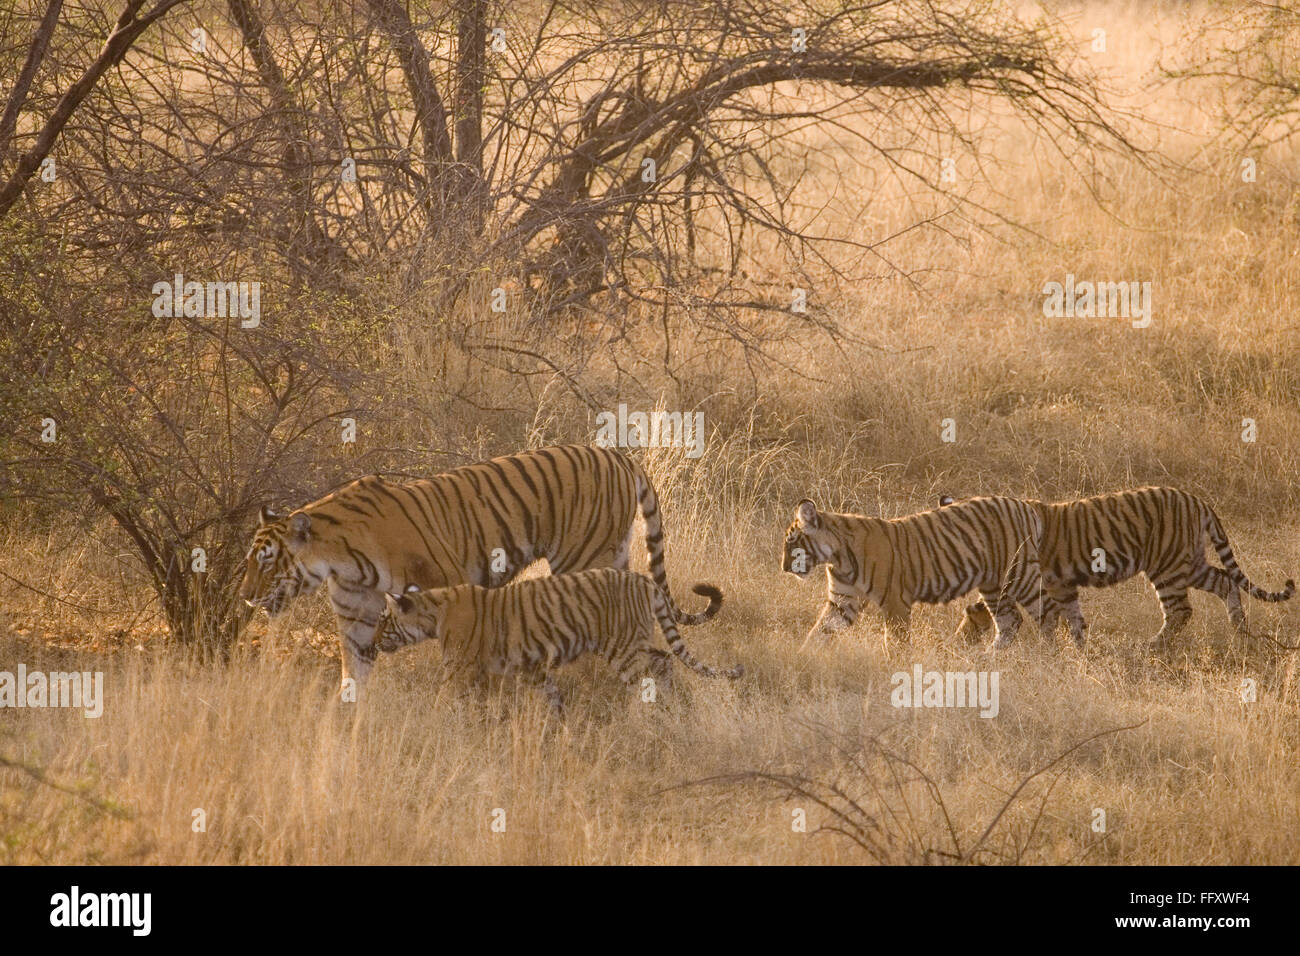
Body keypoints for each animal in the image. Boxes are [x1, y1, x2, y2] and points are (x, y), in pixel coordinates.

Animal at [239, 444, 716, 694]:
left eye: (267, 562)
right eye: (248, 562)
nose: (244, 596)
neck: (338, 558)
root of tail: (619, 454)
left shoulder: (447, 585)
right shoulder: (356, 615)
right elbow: (352, 673)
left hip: (583, 559)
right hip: (612, 557)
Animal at [373, 567, 744, 711]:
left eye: (383, 622)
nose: (373, 644)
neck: (433, 613)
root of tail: (644, 579)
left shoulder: (459, 670)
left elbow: (445, 702)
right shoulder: (531, 667)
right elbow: (551, 696)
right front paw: (558, 726)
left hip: (624, 648)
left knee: (647, 677)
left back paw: (647, 717)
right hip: (635, 641)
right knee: (665, 660)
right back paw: (676, 707)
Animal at [781, 496, 1050, 649]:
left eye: (792, 541)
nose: (783, 567)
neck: (837, 557)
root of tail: (1026, 506)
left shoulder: (895, 601)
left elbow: (896, 642)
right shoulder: (843, 601)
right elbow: (820, 631)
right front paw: (804, 657)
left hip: (1020, 574)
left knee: (1047, 612)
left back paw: (1050, 655)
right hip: (993, 585)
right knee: (1009, 621)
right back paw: (991, 657)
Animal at [938, 487, 1295, 649]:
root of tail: (1195, 499)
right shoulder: (1061, 585)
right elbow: (1073, 617)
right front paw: (1080, 648)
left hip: (1166, 566)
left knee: (1180, 611)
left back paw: (1150, 646)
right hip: (1189, 562)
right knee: (1225, 582)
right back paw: (1239, 628)